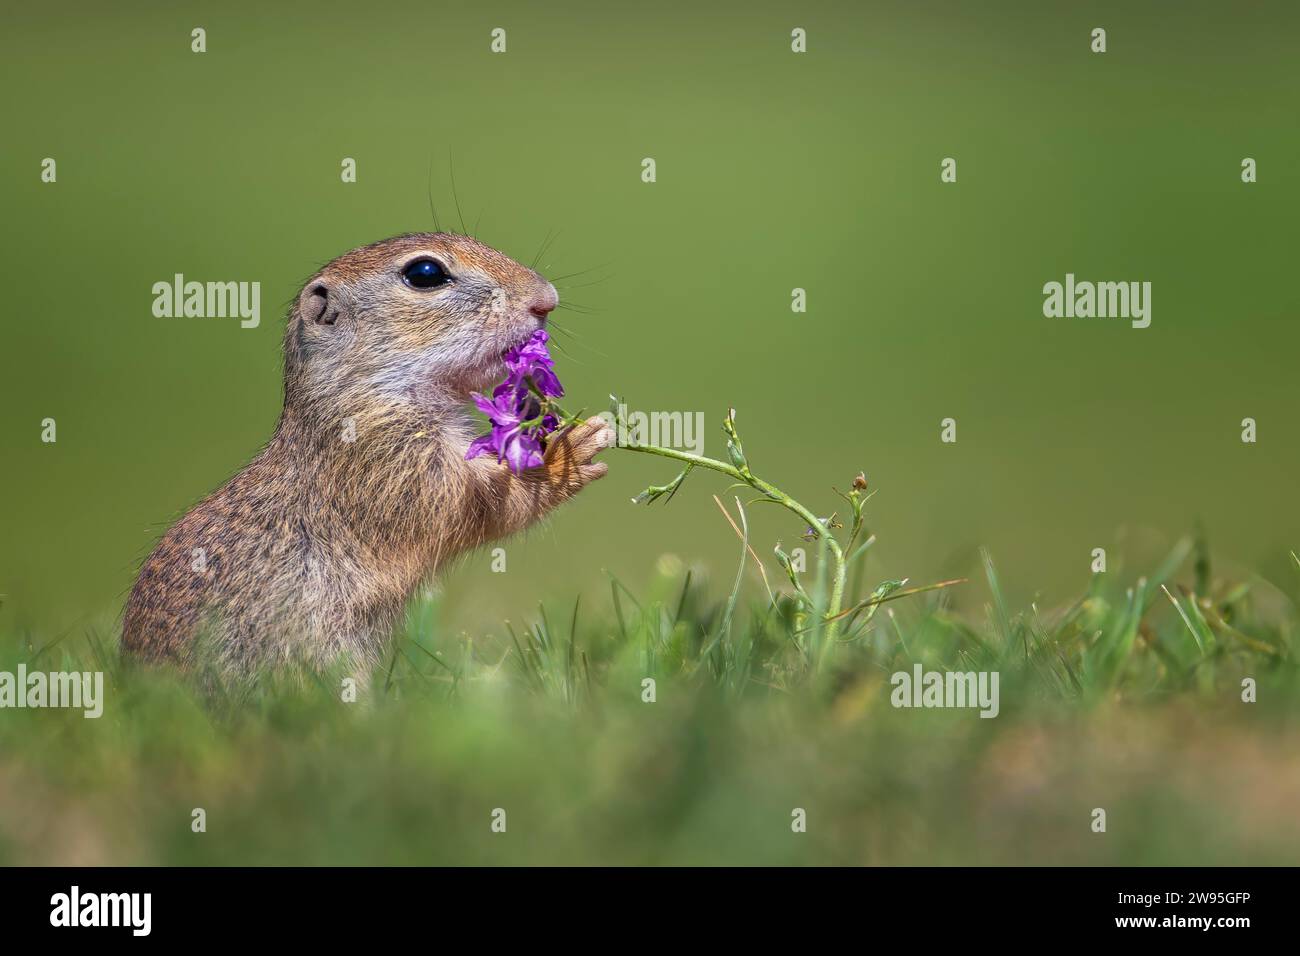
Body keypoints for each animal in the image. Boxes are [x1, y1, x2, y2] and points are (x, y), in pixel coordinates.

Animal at [121, 233, 614, 677]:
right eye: (425, 273)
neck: (368, 392)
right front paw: (573, 450)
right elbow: (475, 507)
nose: (546, 299)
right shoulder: (394, 462)